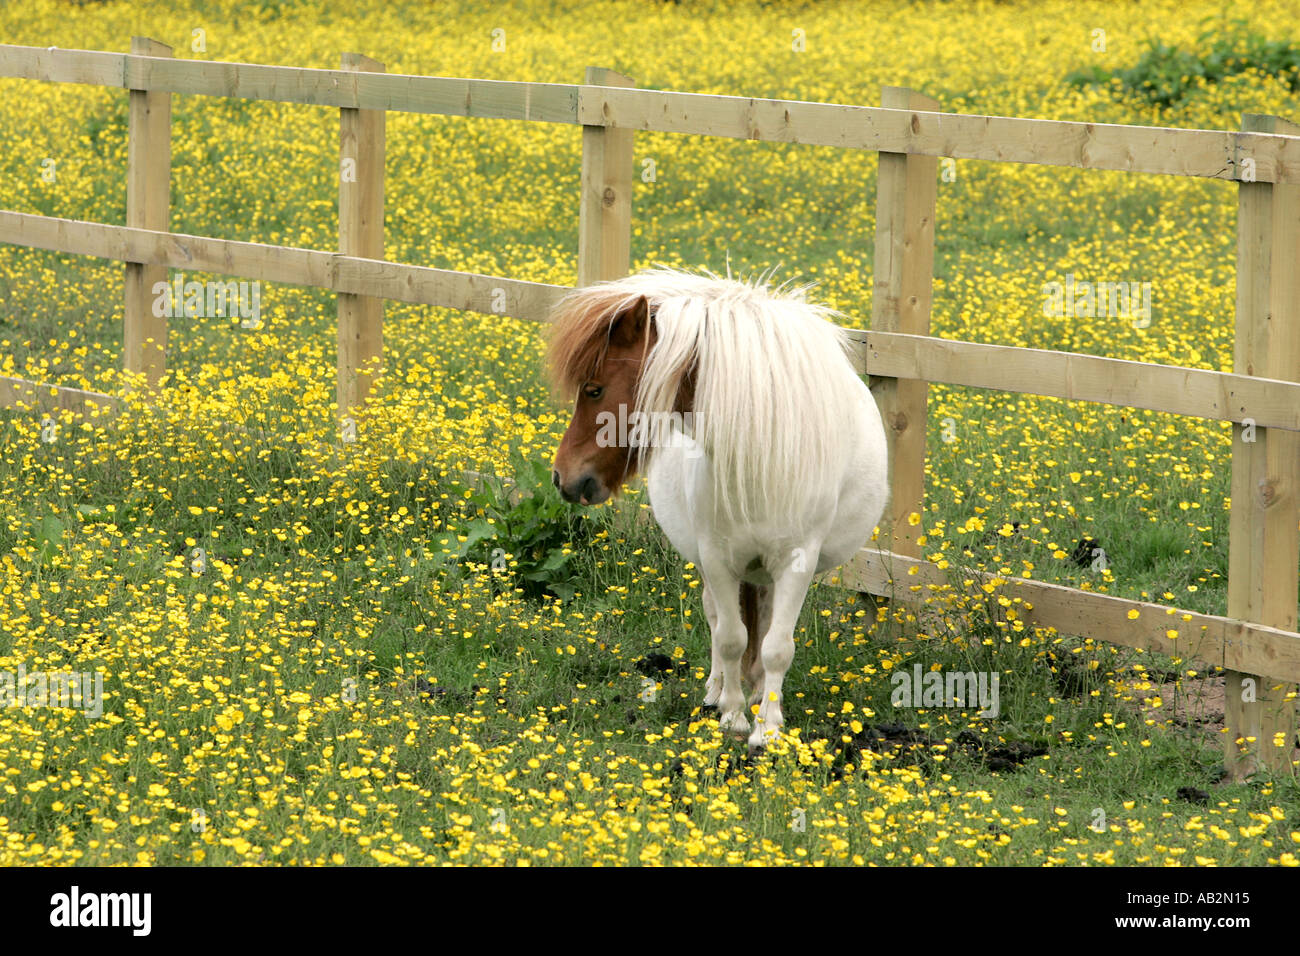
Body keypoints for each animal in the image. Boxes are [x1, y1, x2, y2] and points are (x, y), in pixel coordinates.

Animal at [548, 267, 889, 752]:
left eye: (595, 389)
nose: (563, 477)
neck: (758, 446)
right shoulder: (717, 558)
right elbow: (729, 637)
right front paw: (732, 715)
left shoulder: (797, 563)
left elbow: (776, 646)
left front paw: (768, 728)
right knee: (718, 618)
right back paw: (717, 691)